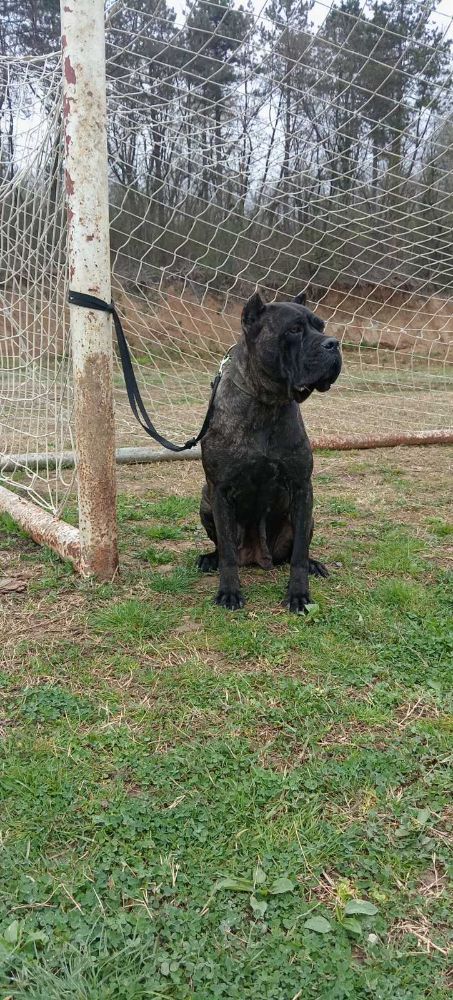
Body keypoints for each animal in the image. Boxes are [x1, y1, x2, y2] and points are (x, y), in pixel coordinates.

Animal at [196, 292, 340, 608]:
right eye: (294, 330)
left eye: (321, 326)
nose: (334, 343)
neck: (267, 403)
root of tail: (256, 556)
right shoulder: (220, 491)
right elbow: (227, 552)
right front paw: (229, 592)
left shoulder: (302, 486)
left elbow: (298, 554)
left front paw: (299, 594)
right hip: (205, 502)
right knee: (223, 548)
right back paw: (209, 559)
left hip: (306, 517)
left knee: (294, 550)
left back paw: (314, 564)